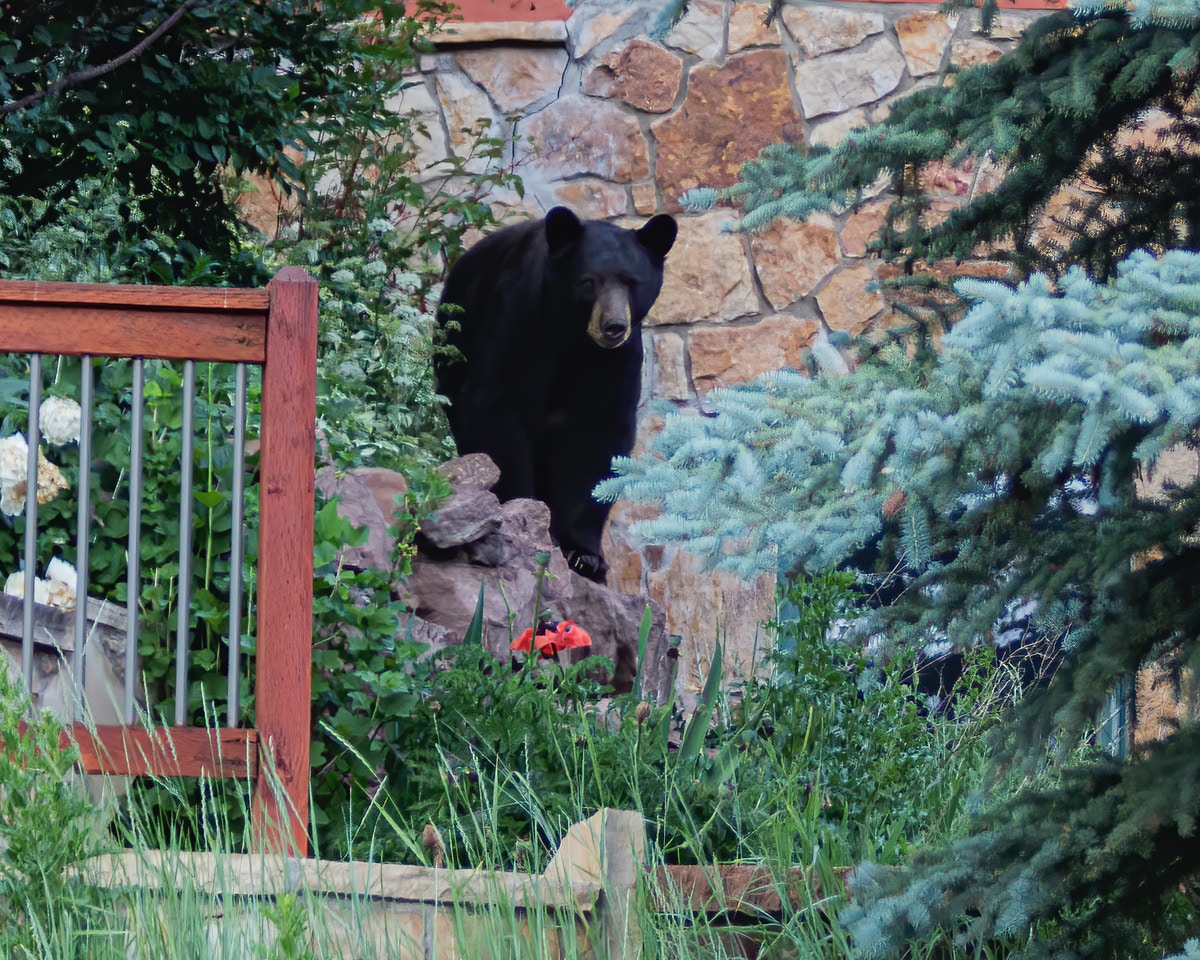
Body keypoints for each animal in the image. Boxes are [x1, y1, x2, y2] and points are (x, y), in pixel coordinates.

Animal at [435, 206, 677, 583]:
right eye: (589, 281)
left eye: (632, 282)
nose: (613, 327)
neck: (571, 338)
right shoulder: (516, 326)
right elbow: (496, 413)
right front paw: (526, 516)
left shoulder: (614, 363)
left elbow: (596, 439)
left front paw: (584, 555)